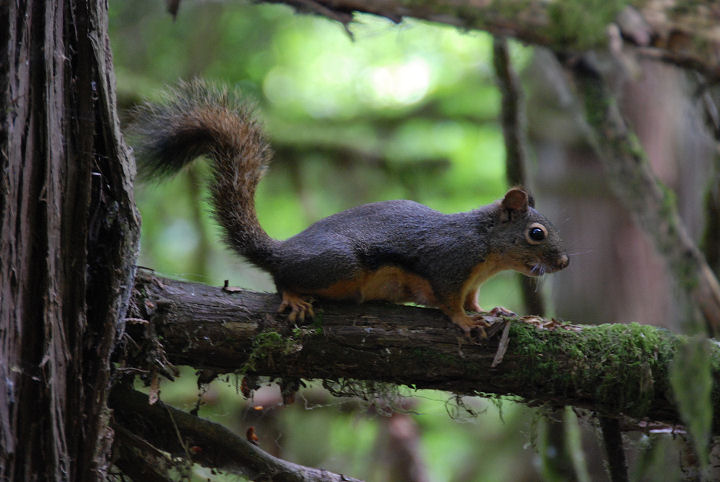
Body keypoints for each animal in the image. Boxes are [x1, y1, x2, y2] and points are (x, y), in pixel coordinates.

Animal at [132, 80, 569, 338]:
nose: (564, 263)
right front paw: (464, 319)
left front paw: (492, 309)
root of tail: (281, 249)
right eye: (536, 234)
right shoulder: (449, 261)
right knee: (282, 277)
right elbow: (448, 301)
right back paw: (293, 296)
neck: (487, 248)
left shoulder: (472, 280)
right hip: (338, 264)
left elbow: (473, 298)